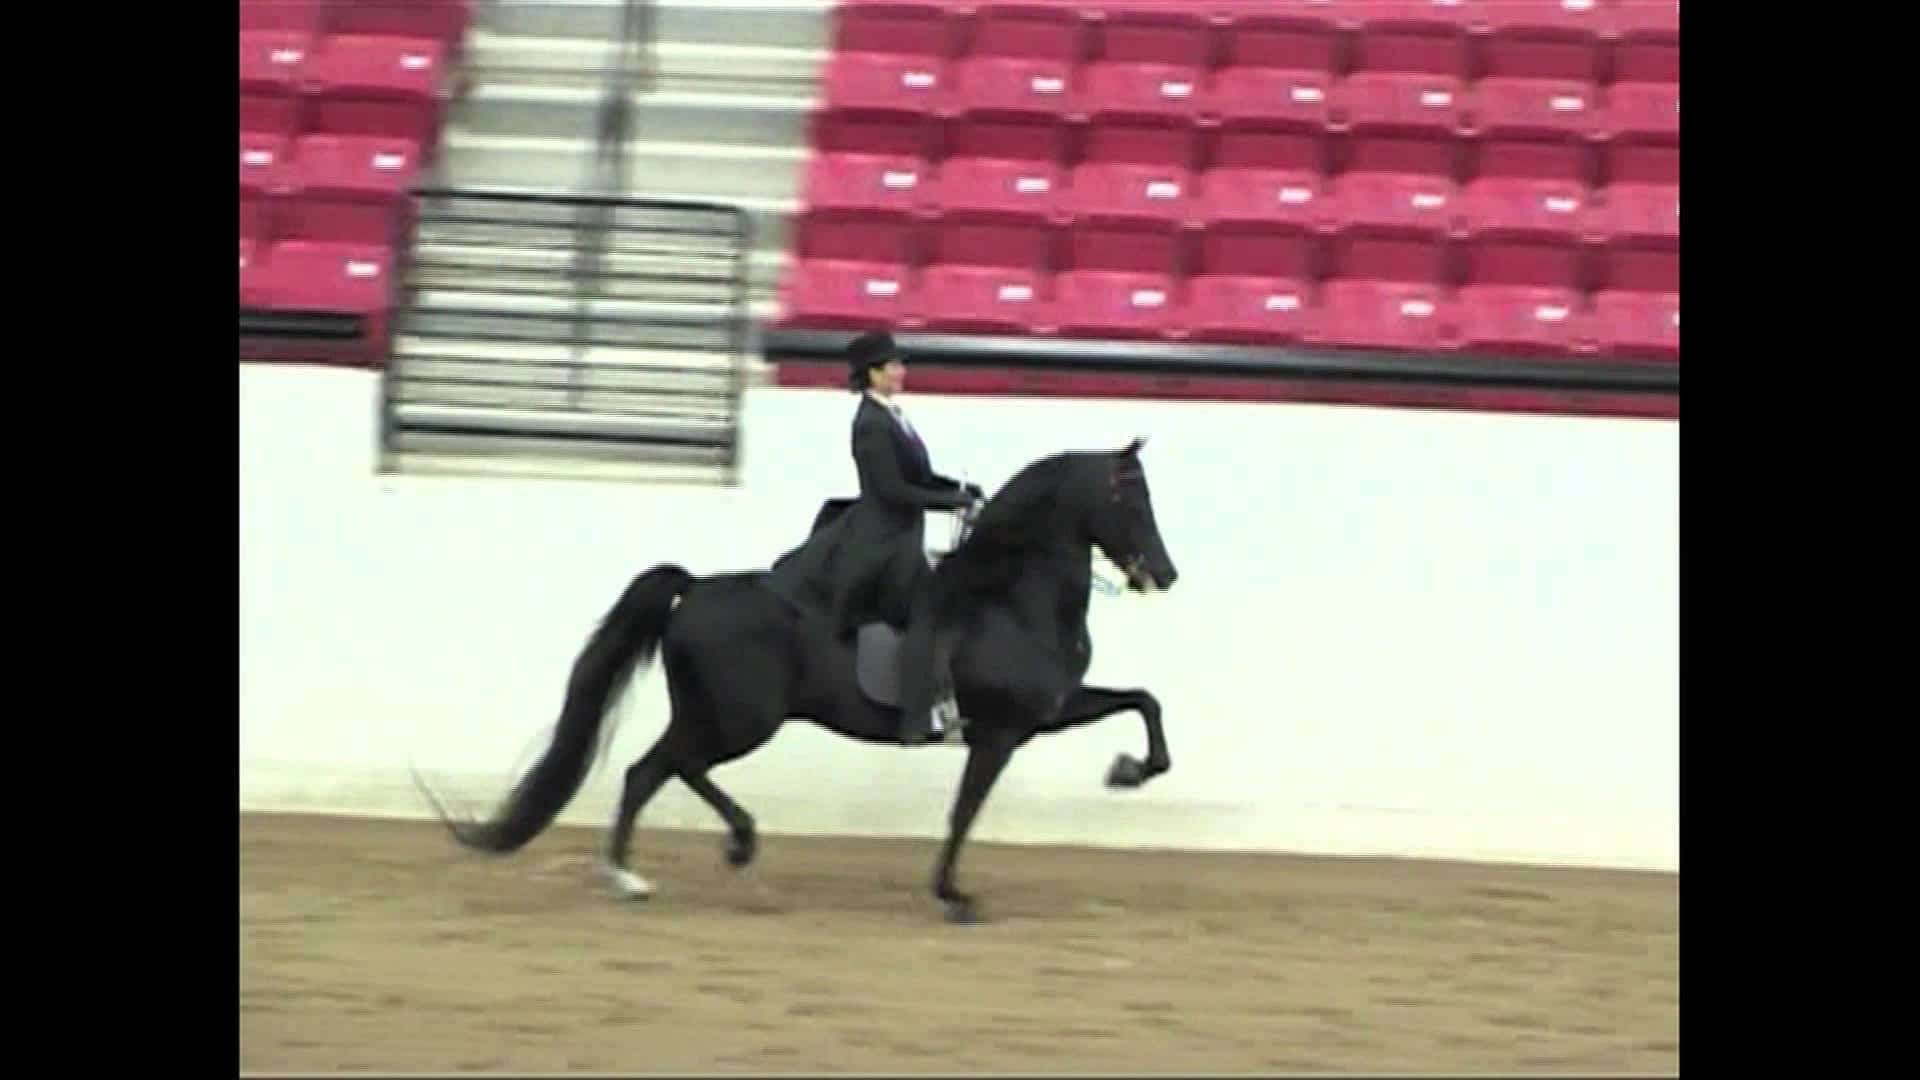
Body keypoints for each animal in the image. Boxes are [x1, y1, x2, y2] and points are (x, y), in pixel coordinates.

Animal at [417, 438, 1180, 924]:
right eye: (1131, 501)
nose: (1165, 573)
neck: (1013, 596)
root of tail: (694, 591)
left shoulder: (1046, 712)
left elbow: (1144, 700)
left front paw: (1128, 771)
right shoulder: (1000, 731)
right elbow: (964, 813)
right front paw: (953, 897)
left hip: (716, 715)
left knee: (653, 770)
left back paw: (647, 872)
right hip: (739, 720)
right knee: (665, 767)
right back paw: (709, 853)